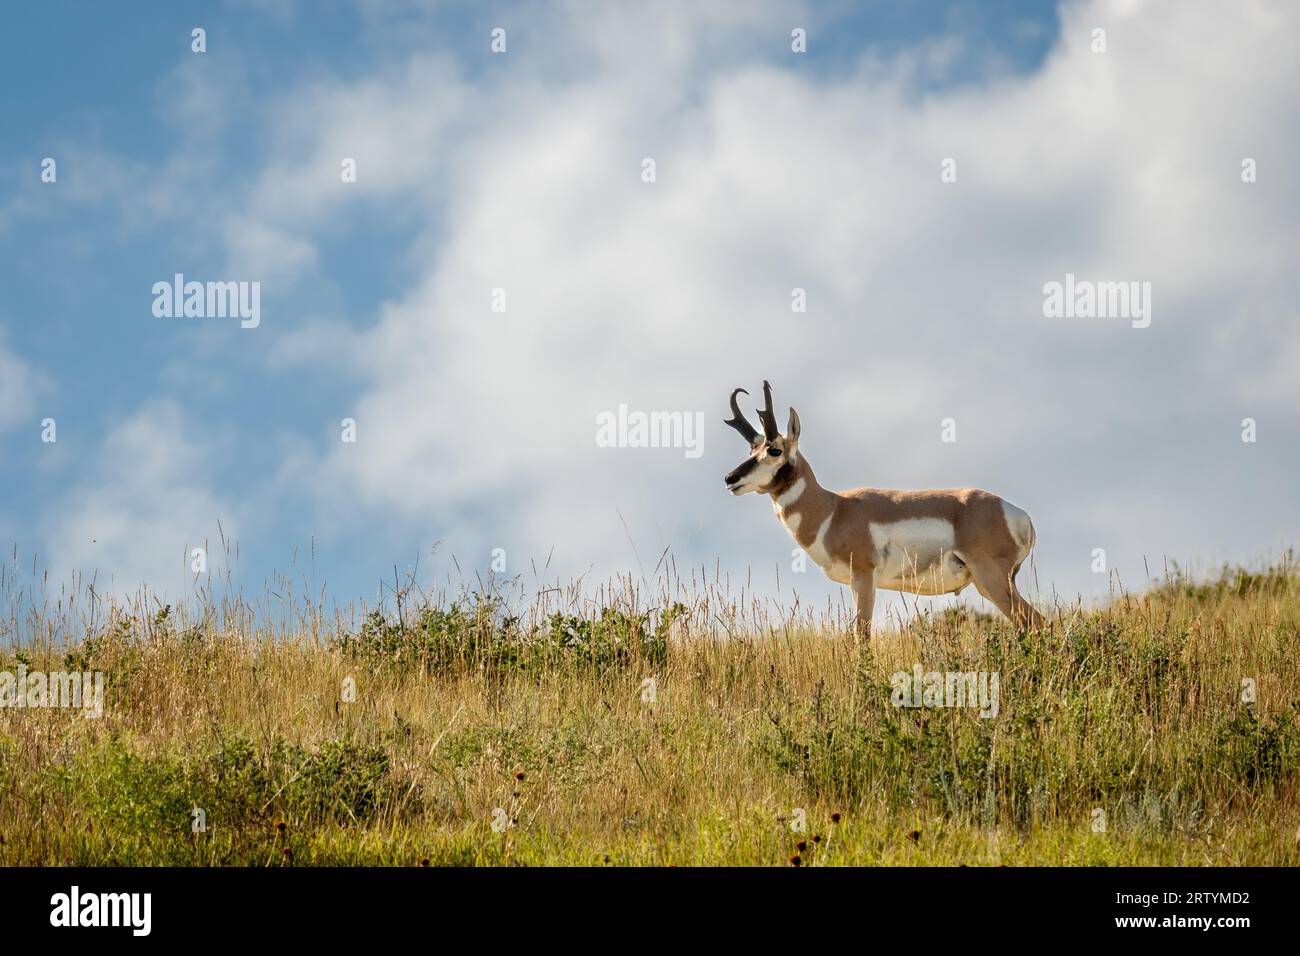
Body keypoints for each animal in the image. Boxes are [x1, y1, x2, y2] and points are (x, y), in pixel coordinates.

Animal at [723, 381, 1044, 635]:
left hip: (991, 579)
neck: (834, 509)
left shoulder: (864, 578)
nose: (730, 478)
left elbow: (861, 636)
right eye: (752, 449)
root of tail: (1019, 515)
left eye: (774, 449)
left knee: (1036, 622)